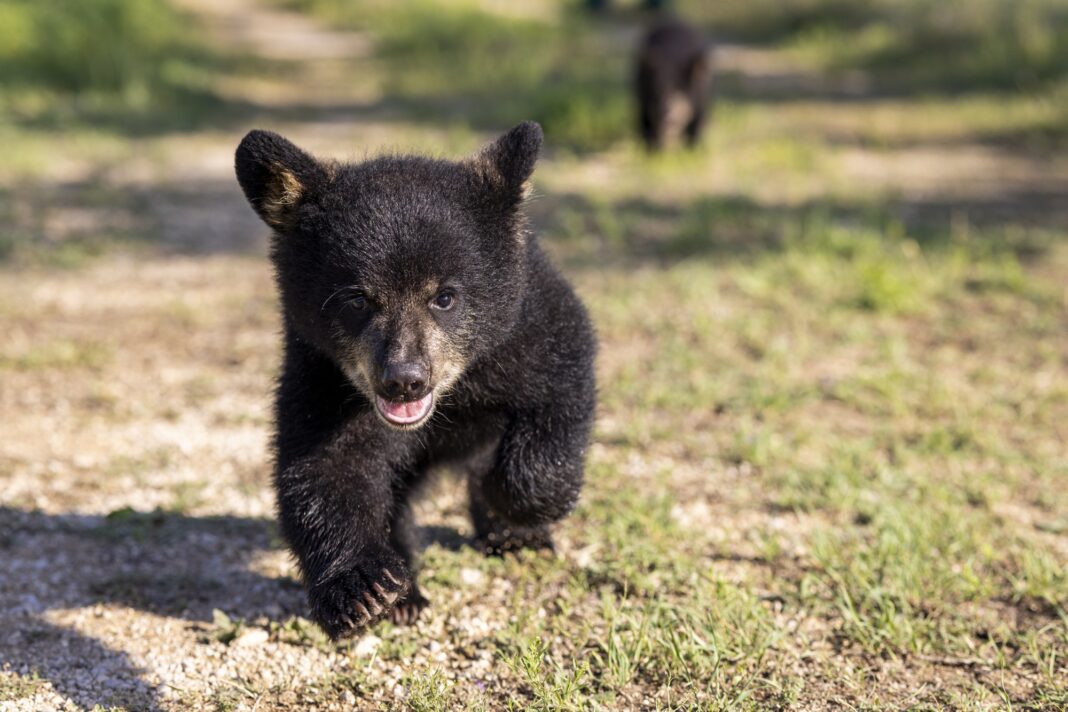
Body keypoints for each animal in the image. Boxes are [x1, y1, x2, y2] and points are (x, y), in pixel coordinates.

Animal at [234, 122, 597, 638]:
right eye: (357, 299)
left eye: (444, 296)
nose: (404, 380)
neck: (453, 392)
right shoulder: (325, 375)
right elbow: (324, 466)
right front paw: (360, 588)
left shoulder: (528, 329)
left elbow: (560, 396)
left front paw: (519, 509)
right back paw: (405, 597)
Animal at [636, 18, 712, 150]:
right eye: (658, 93)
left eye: (679, 93)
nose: (666, 112)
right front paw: (654, 150)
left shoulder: (700, 102)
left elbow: (696, 126)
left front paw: (694, 149)